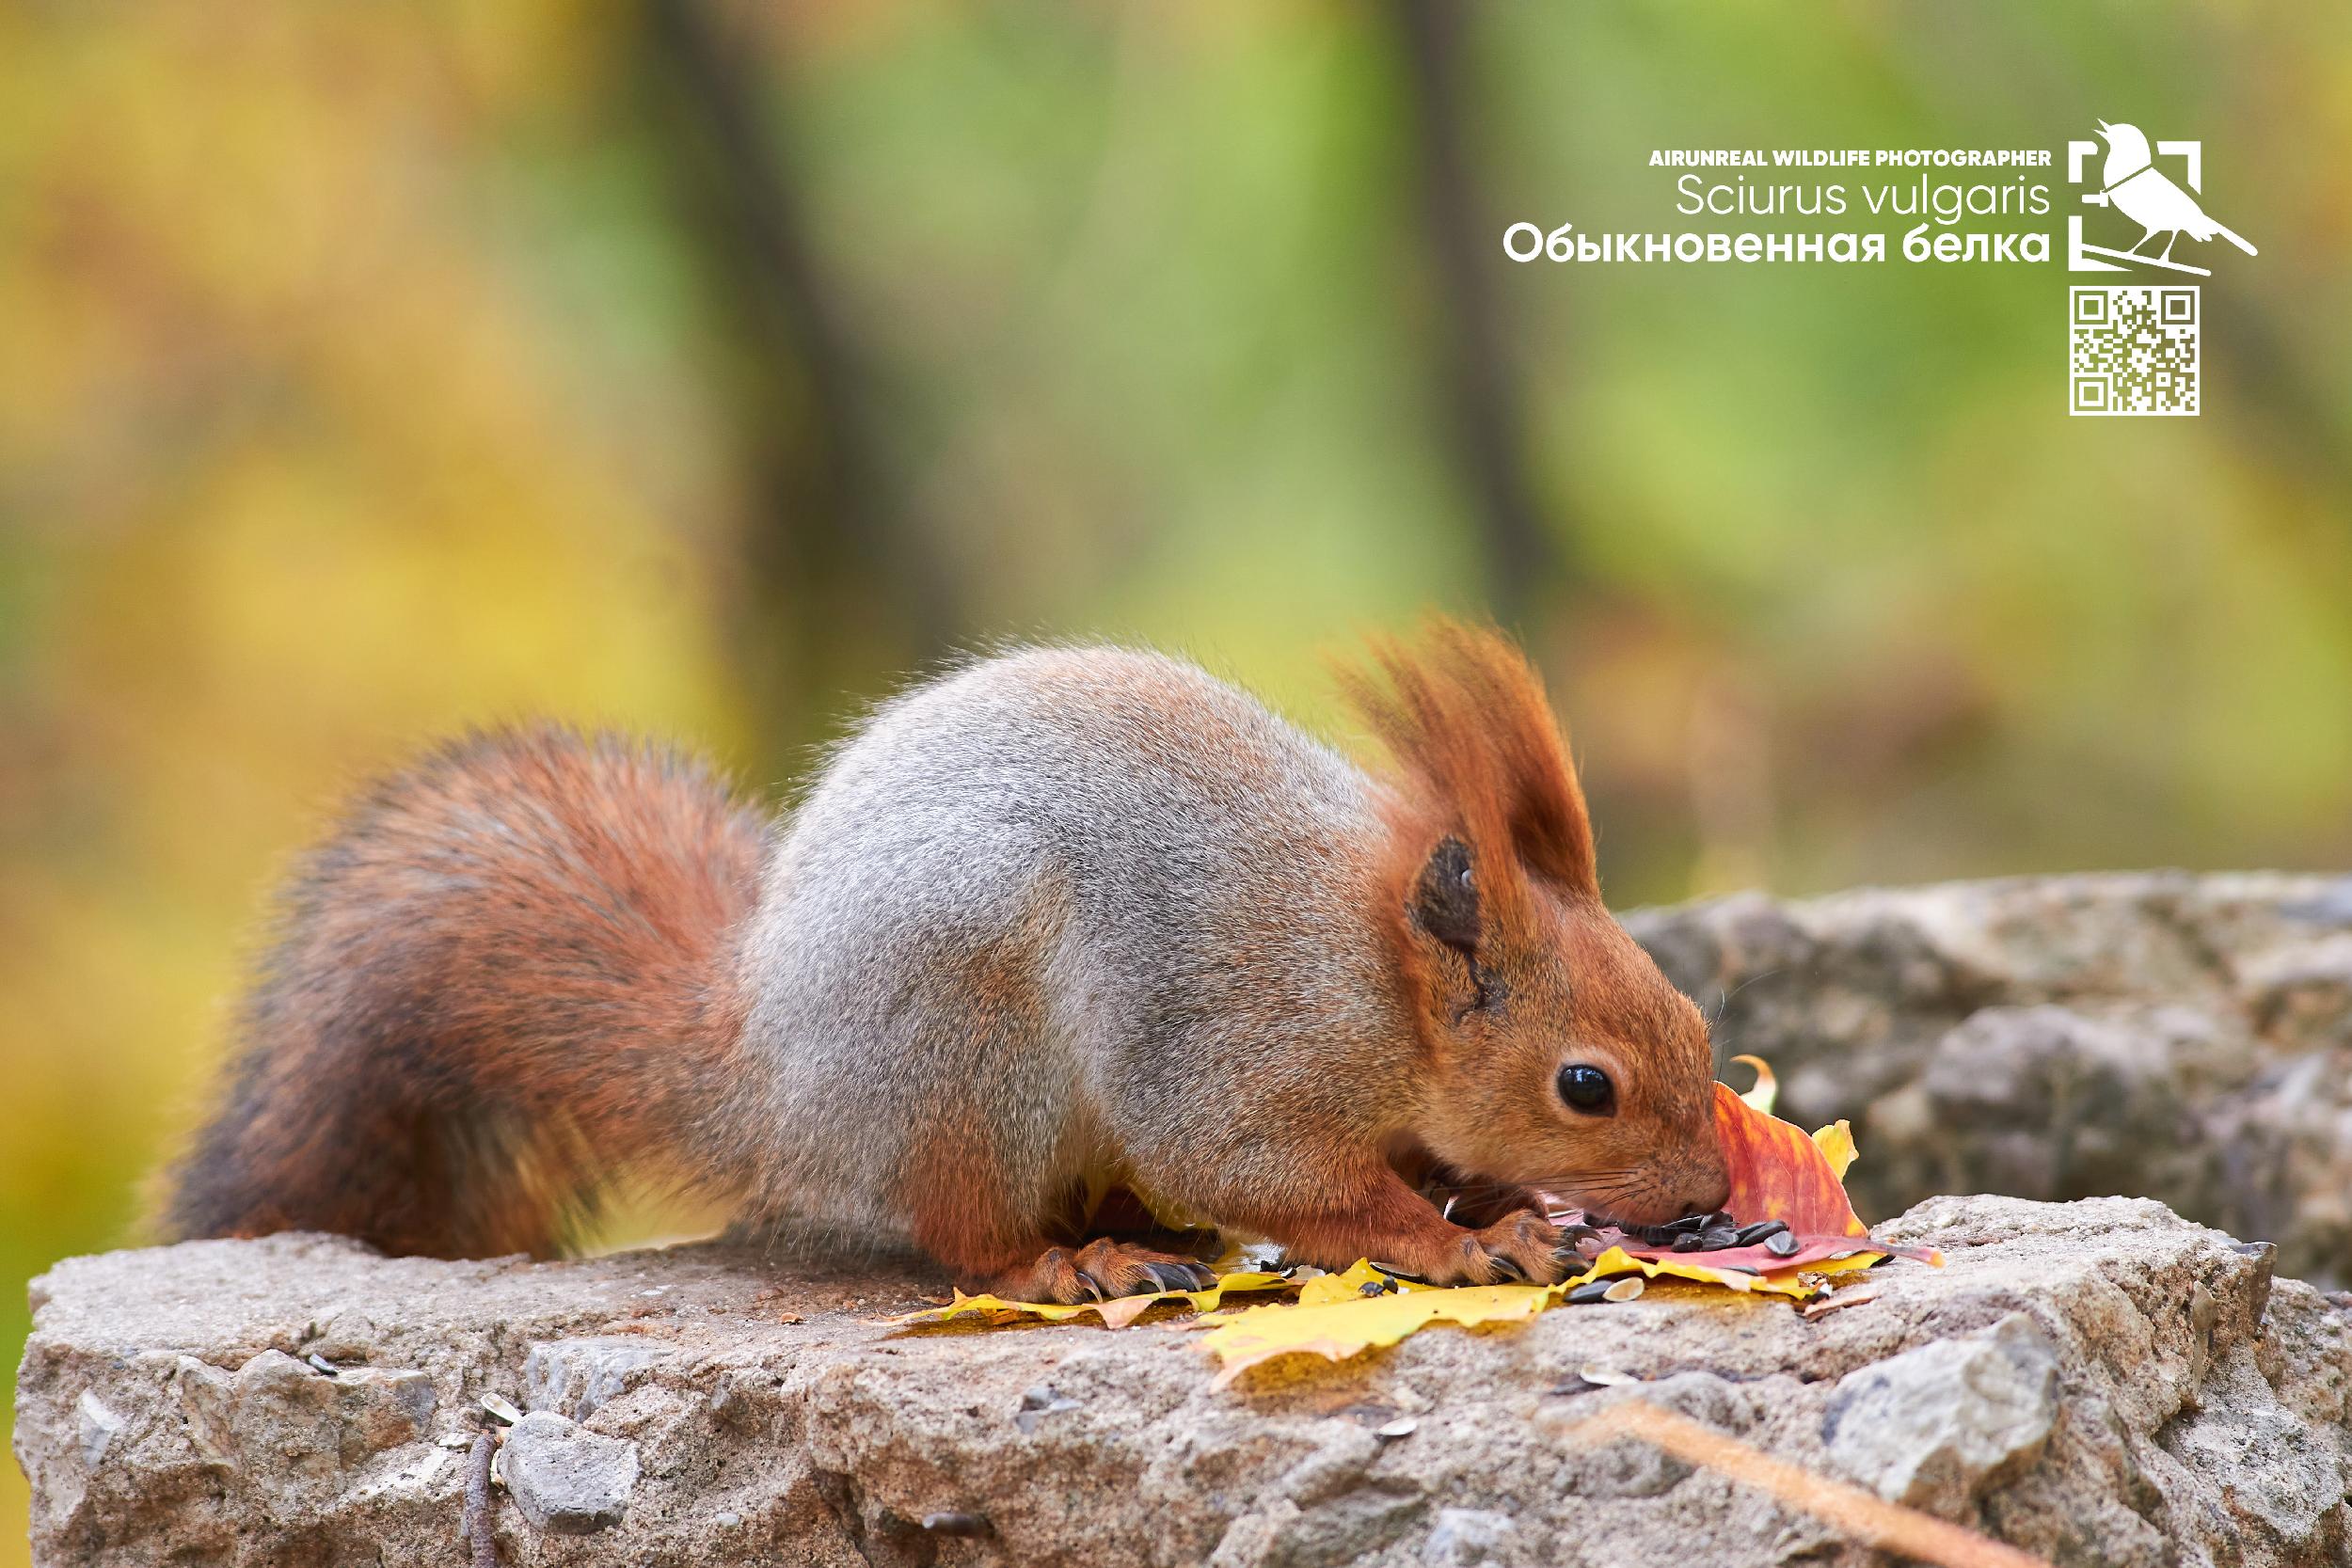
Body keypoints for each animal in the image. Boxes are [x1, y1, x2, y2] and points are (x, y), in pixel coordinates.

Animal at [161, 625, 1731, 1297]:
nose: (1714, 1197)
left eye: (1700, 1026)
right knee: (963, 1227)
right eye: (1585, 1084)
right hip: (965, 1043)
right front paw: (1474, 1237)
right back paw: (1071, 1257)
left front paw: (1500, 1202)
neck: (1384, 990)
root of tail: (771, 1077)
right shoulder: (1241, 1047)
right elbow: (1273, 1171)